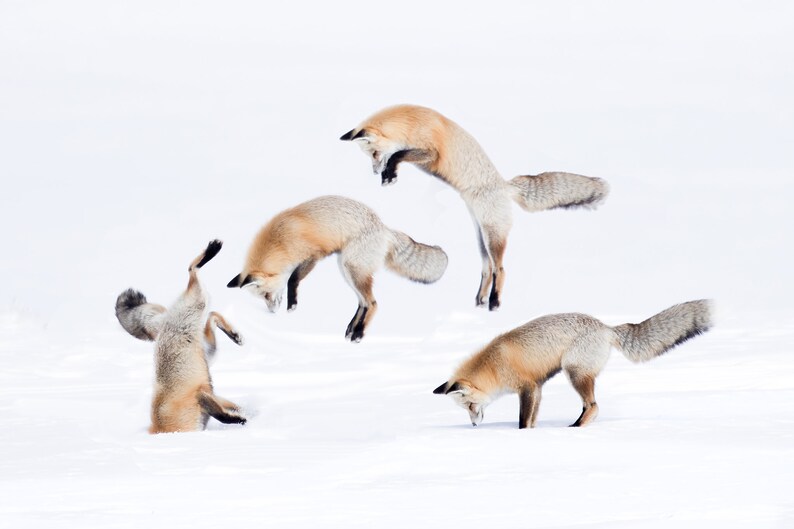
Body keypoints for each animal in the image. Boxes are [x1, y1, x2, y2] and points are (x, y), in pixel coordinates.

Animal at [115, 240, 247, 434]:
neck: (162, 426)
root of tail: (164, 323)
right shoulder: (208, 392)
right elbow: (228, 408)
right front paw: (244, 414)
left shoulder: (200, 396)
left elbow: (222, 416)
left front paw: (241, 419)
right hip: (209, 350)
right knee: (212, 316)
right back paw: (235, 335)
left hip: (198, 301)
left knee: (191, 271)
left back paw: (211, 250)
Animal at [226, 195, 448, 342]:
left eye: (266, 295)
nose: (271, 312)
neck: (280, 242)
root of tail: (384, 228)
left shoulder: (313, 255)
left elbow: (293, 279)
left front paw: (293, 304)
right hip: (347, 270)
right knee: (363, 302)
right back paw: (351, 329)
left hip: (352, 268)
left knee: (373, 303)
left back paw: (359, 333)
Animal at [340, 104, 609, 311]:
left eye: (375, 154)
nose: (374, 172)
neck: (413, 123)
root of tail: (505, 186)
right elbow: (399, 154)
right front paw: (388, 175)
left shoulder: (431, 153)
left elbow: (399, 155)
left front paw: (389, 173)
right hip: (481, 241)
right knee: (487, 269)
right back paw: (480, 299)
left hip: (492, 237)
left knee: (500, 269)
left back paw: (494, 302)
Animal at [433, 299, 713, 428]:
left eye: (471, 405)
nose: (473, 425)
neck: (494, 365)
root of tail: (606, 327)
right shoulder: (538, 388)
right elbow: (532, 420)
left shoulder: (527, 387)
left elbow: (523, 421)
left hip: (574, 372)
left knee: (594, 406)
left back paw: (576, 428)